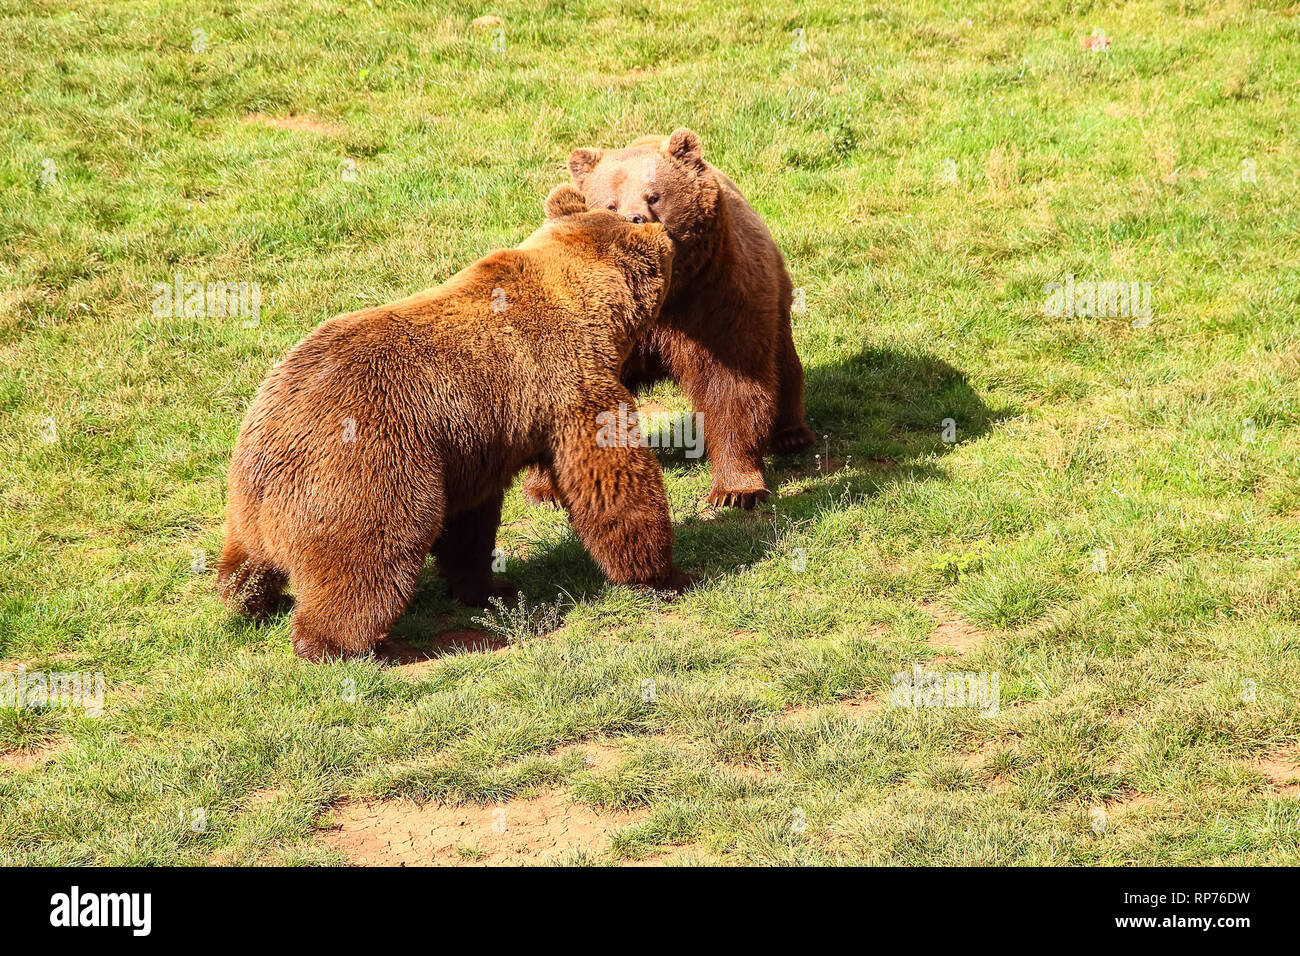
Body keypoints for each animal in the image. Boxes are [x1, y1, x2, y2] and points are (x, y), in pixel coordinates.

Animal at [216, 185, 688, 661]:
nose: (657, 225)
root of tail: (270, 448)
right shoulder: (569, 384)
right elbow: (612, 477)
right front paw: (663, 574)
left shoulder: (474, 442)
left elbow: (469, 522)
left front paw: (490, 585)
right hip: (368, 467)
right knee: (369, 556)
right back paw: (336, 643)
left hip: (247, 499)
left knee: (245, 560)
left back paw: (244, 598)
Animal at [522, 128, 815, 511]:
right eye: (610, 203)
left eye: (654, 196)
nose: (634, 218)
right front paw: (545, 489)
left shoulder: (713, 302)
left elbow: (734, 387)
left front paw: (736, 490)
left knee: (781, 361)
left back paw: (791, 434)